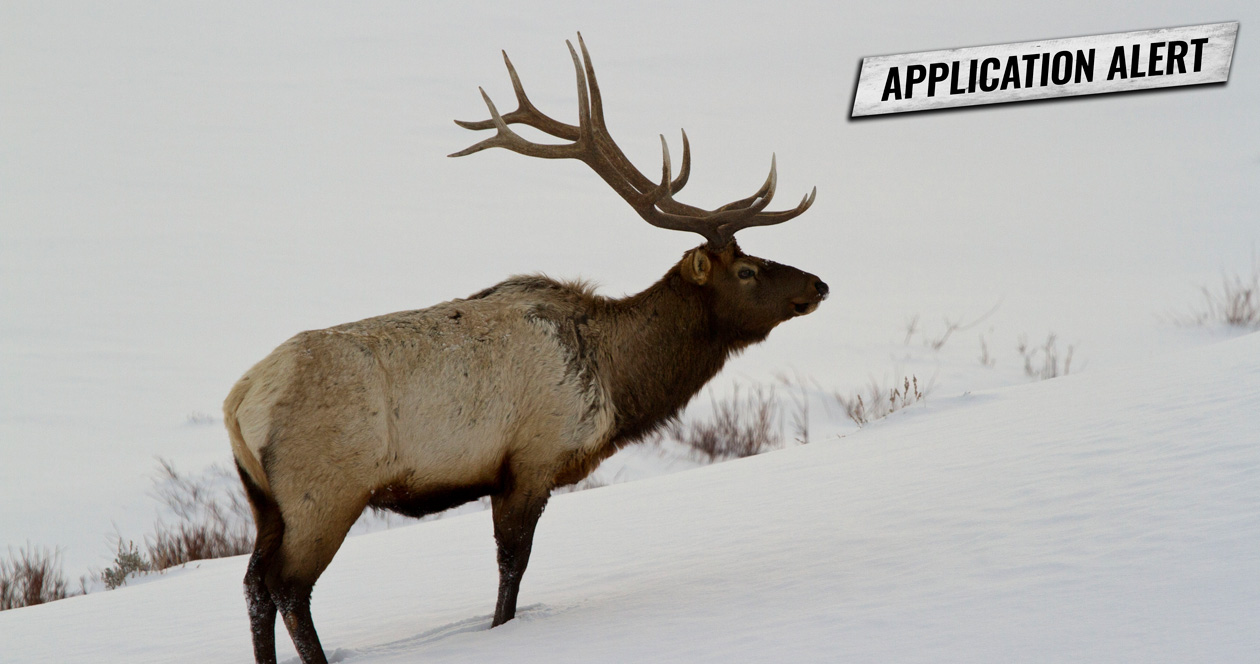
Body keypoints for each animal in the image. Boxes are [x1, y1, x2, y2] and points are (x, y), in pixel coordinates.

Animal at [224, 34, 828, 664]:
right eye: (746, 271)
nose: (818, 285)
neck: (616, 379)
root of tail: (238, 404)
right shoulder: (532, 458)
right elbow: (512, 569)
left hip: (265, 500)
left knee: (253, 584)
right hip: (324, 492)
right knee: (288, 586)